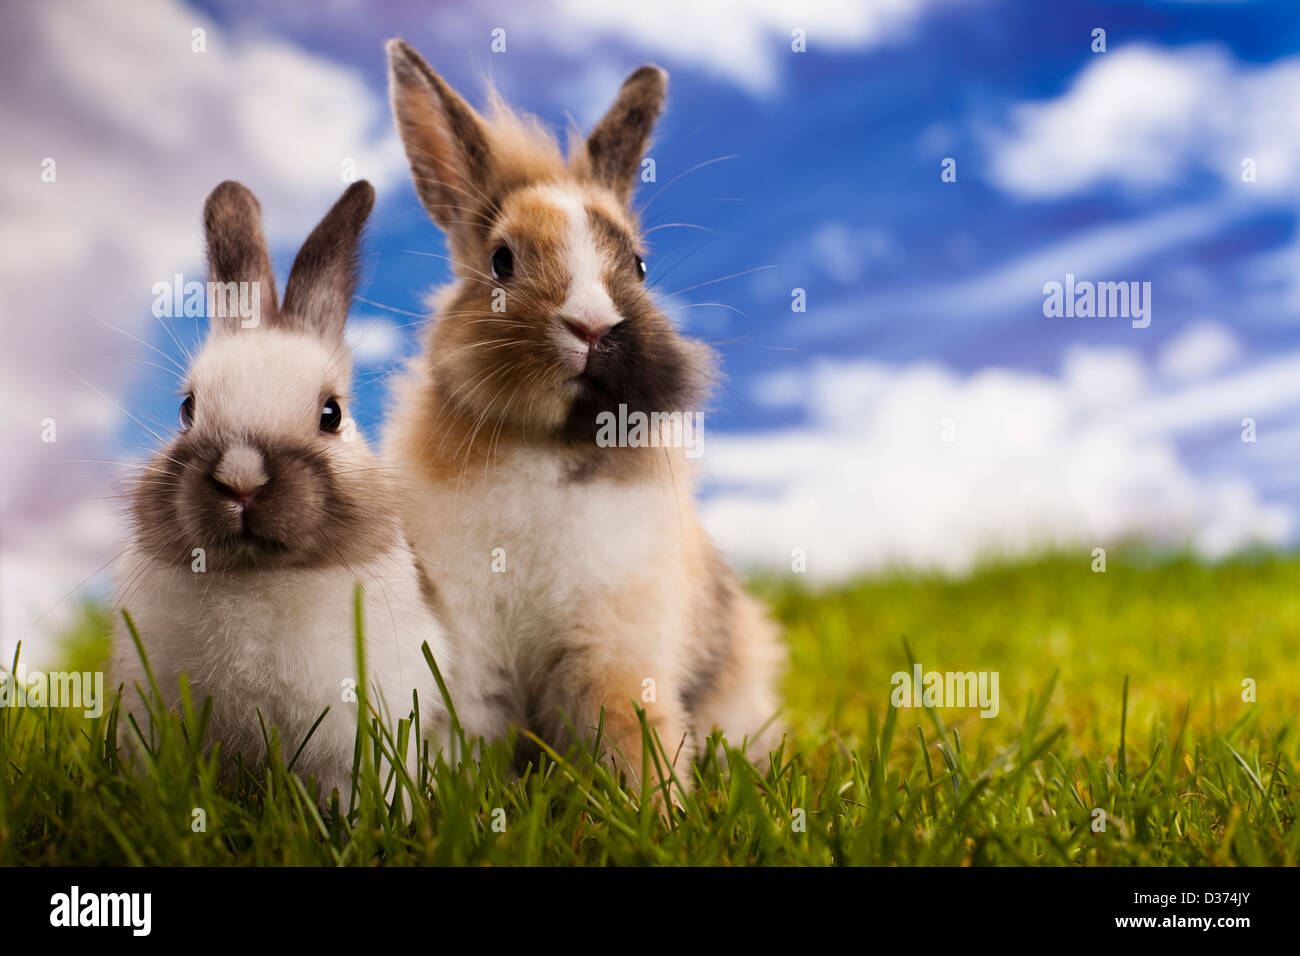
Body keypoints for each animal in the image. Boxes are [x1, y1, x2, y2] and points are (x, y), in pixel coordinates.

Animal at [381, 39, 784, 801]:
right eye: (501, 261)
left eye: (640, 265)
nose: (593, 326)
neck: (545, 442)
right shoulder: (470, 657)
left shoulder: (614, 652)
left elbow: (626, 731)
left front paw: (655, 811)